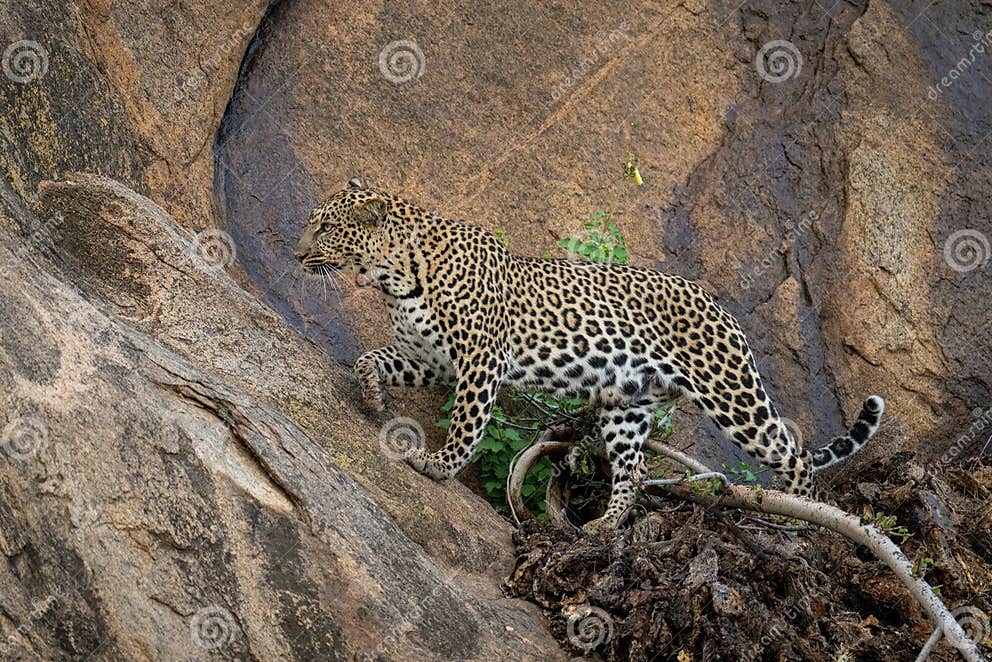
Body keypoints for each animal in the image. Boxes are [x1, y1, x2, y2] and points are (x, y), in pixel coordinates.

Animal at [294, 179, 886, 530]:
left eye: (325, 227)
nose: (297, 254)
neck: (394, 276)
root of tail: (722, 306)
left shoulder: (480, 361)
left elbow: (466, 422)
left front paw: (439, 465)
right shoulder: (432, 359)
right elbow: (373, 359)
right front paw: (372, 397)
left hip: (733, 397)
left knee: (794, 457)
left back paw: (801, 521)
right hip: (627, 405)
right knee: (635, 469)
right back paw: (606, 526)